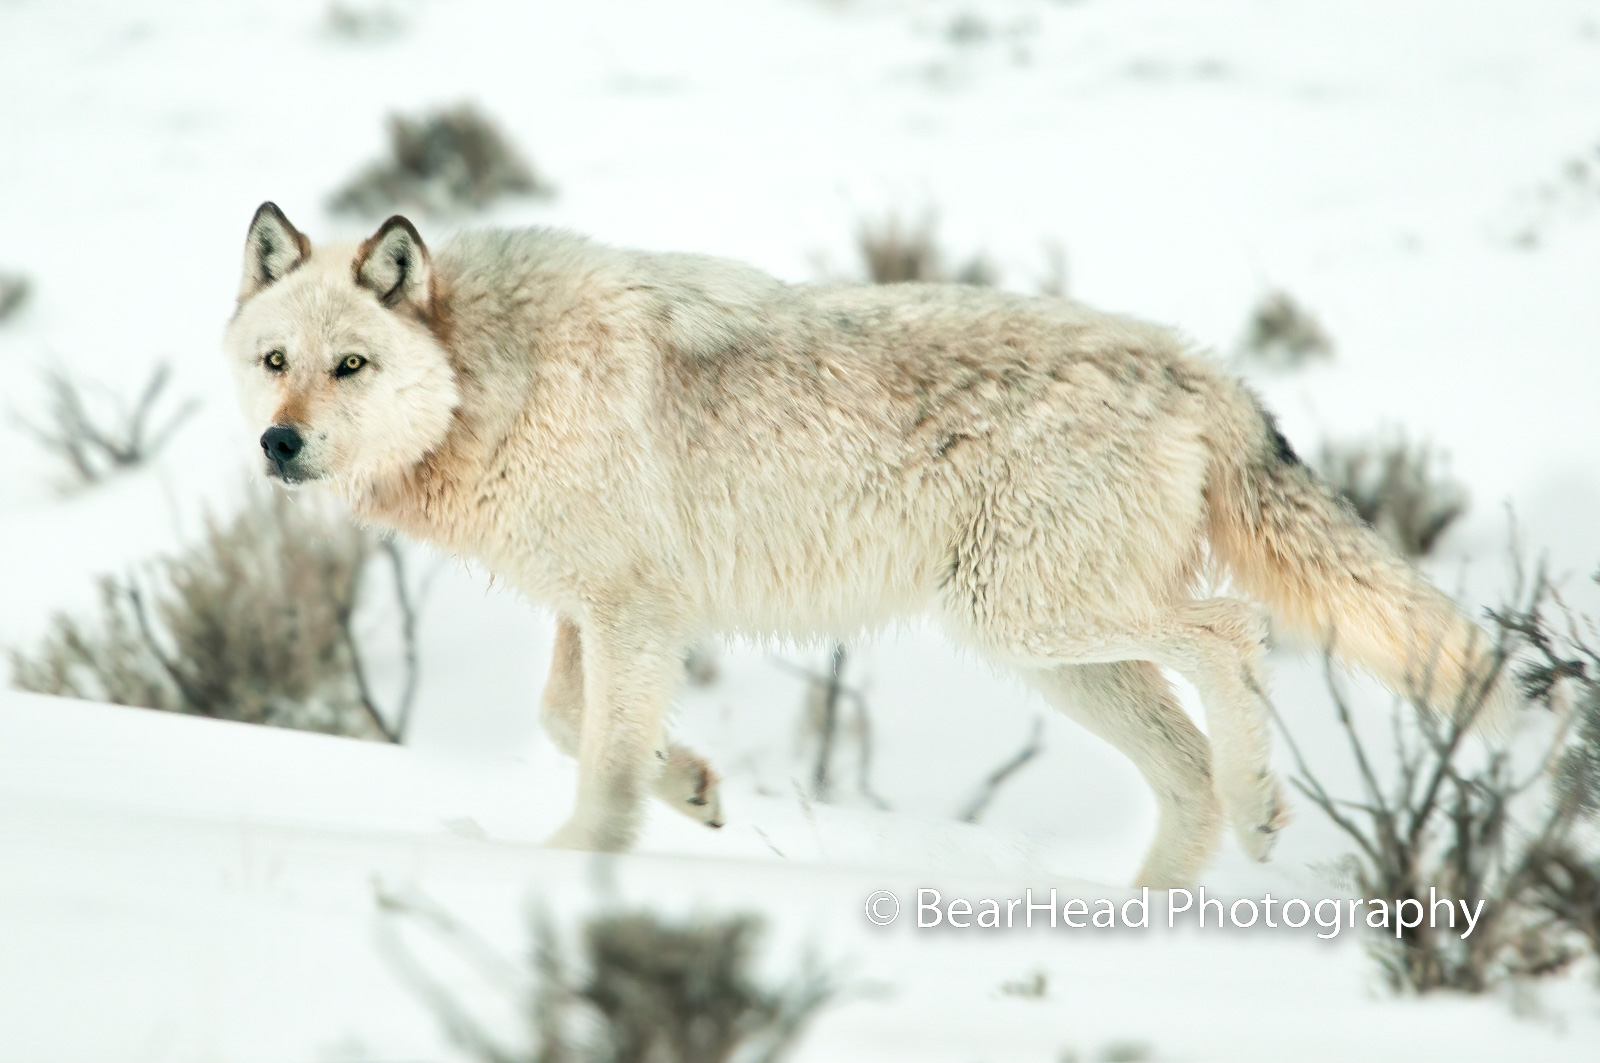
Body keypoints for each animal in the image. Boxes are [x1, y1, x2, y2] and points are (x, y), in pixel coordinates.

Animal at [224, 202, 1514, 887]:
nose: (280, 443)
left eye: (353, 365)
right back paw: (1146, 924)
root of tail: (1201, 366)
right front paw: (691, 787)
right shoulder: (603, 609)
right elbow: (564, 722)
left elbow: (596, 763)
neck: (492, 378)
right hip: (1053, 657)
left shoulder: (632, 614)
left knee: (1231, 636)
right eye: (275, 360)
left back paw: (1256, 811)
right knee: (1184, 764)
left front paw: (578, 867)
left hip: (1026, 619)